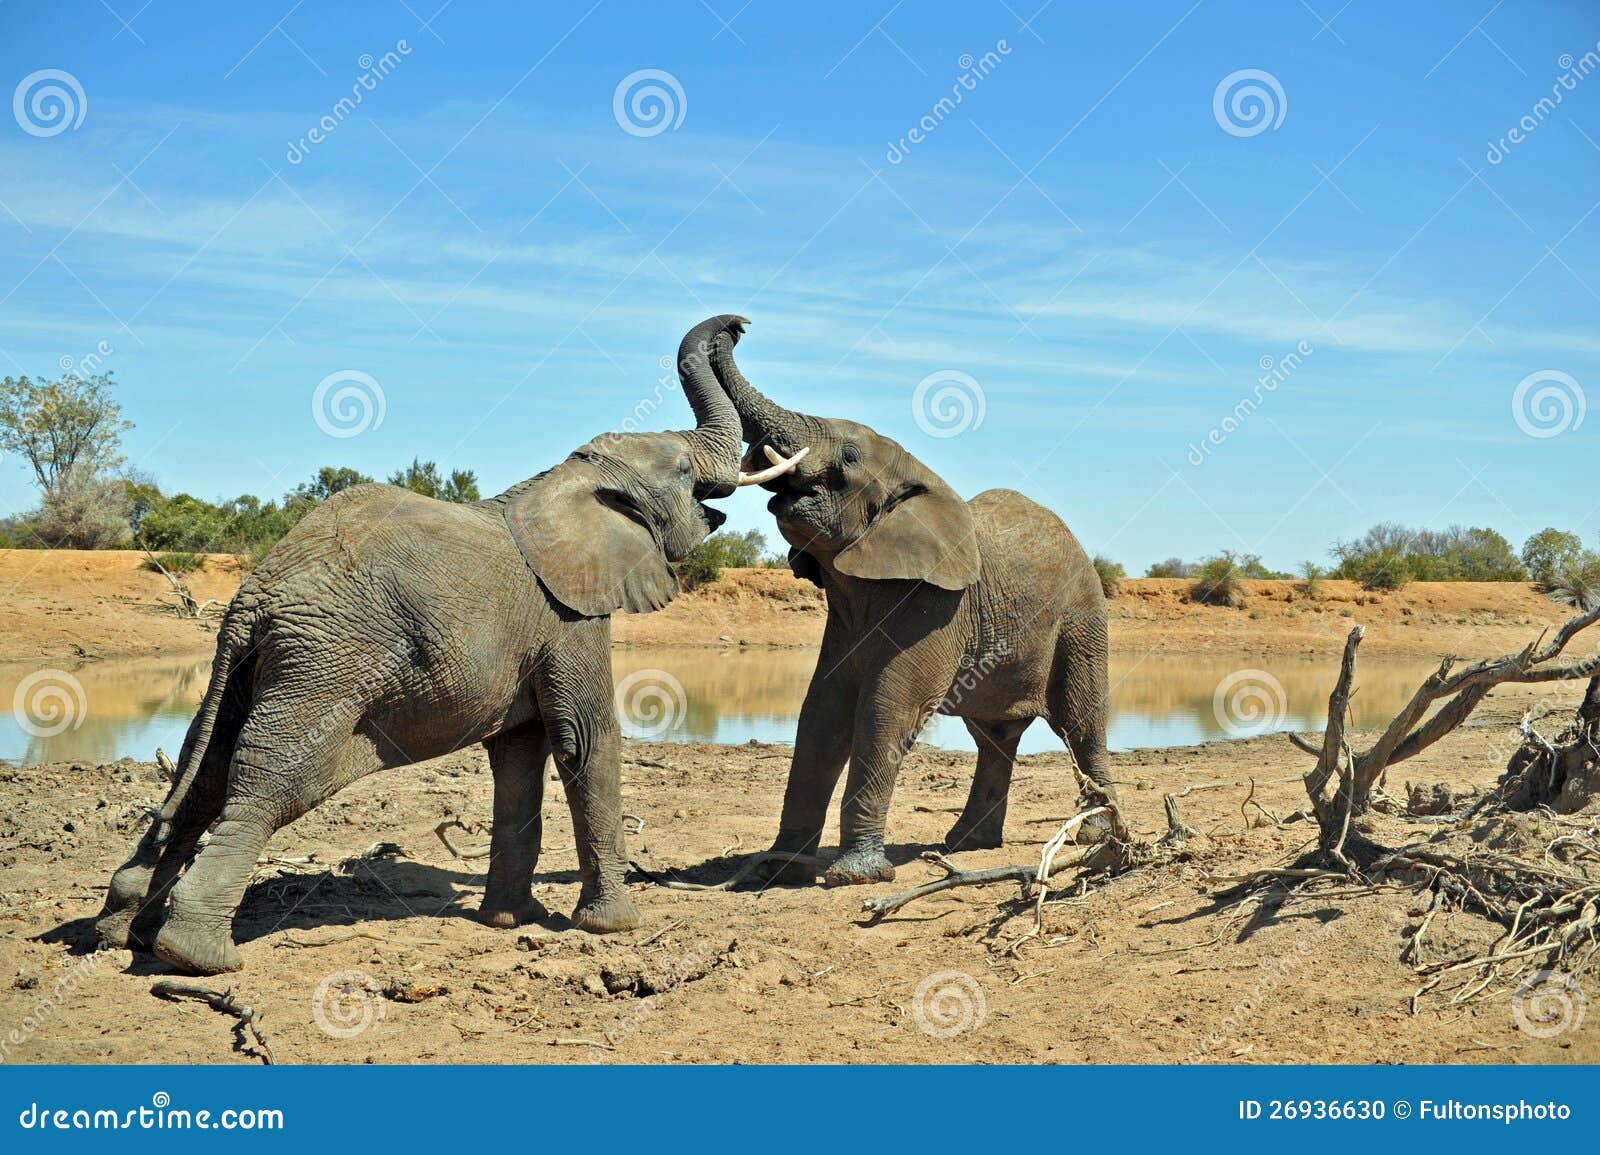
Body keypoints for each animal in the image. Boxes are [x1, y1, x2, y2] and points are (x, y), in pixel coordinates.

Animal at [95, 315, 810, 974]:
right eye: (686, 469)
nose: (739, 324)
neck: (562, 482)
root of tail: (251, 597)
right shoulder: (568, 613)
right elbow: (584, 738)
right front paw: (613, 927)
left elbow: (520, 756)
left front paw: (511, 920)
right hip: (323, 664)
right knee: (264, 785)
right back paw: (196, 958)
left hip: (248, 670)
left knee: (203, 778)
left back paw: (123, 933)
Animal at [702, 326, 1126, 887]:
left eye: (850, 457)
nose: (737, 325)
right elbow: (821, 712)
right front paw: (779, 868)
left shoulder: (936, 606)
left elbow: (886, 710)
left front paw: (854, 876)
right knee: (994, 736)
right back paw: (965, 844)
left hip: (1083, 616)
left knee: (1081, 721)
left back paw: (1093, 834)